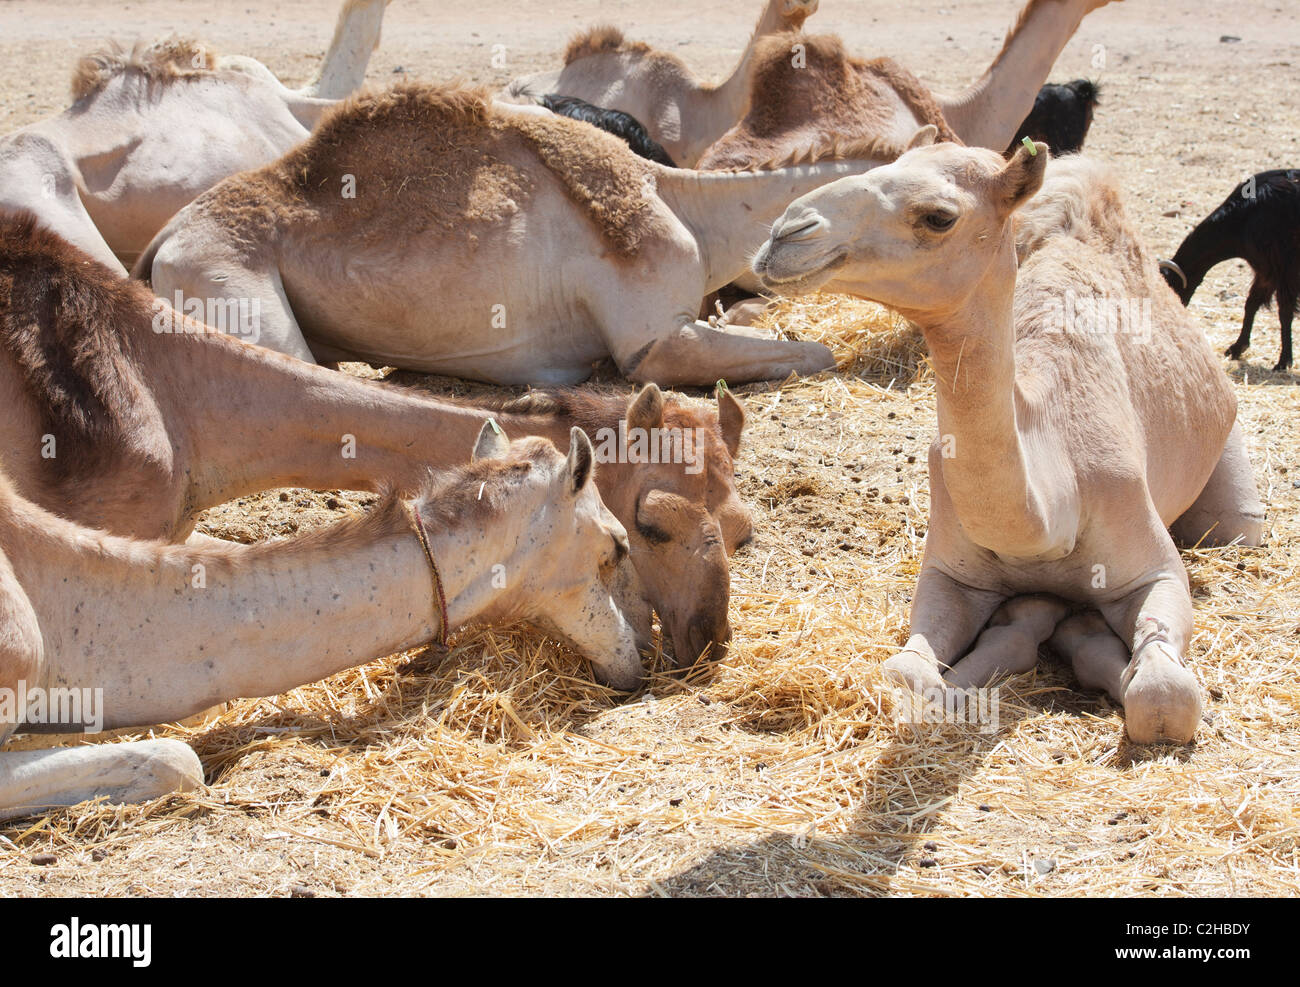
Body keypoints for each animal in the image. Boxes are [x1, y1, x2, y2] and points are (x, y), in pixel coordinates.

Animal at [134, 83, 900, 384]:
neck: (689, 208)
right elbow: (816, 352)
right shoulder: (653, 341)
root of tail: (163, 237)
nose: (793, 235)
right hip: (225, 276)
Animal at [752, 131, 1265, 744]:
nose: (785, 232)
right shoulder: (950, 569)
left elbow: (1164, 694)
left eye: (938, 216)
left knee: (1237, 528)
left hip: (1233, 486)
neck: (1050, 512)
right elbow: (905, 674)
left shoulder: (1155, 567)